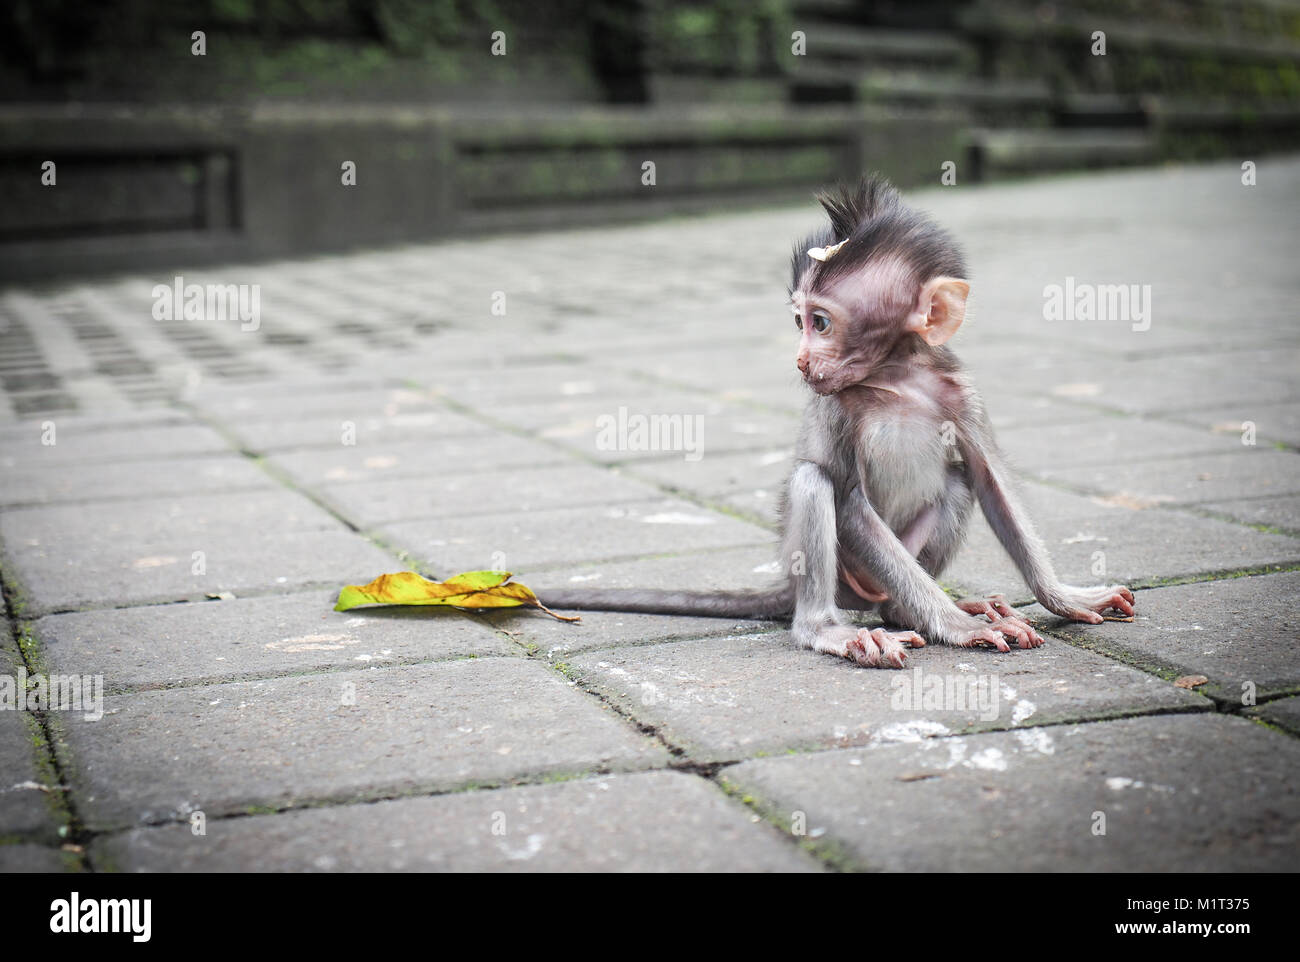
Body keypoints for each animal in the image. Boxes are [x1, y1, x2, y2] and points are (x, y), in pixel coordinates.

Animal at [538, 174, 1135, 668]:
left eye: (820, 323)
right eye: (800, 322)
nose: (802, 359)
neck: (895, 381)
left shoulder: (963, 394)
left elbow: (990, 481)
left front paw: (1064, 598)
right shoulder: (838, 406)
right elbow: (846, 497)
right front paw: (957, 628)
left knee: (957, 480)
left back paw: (909, 613)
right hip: (839, 575)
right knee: (813, 482)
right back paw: (830, 629)